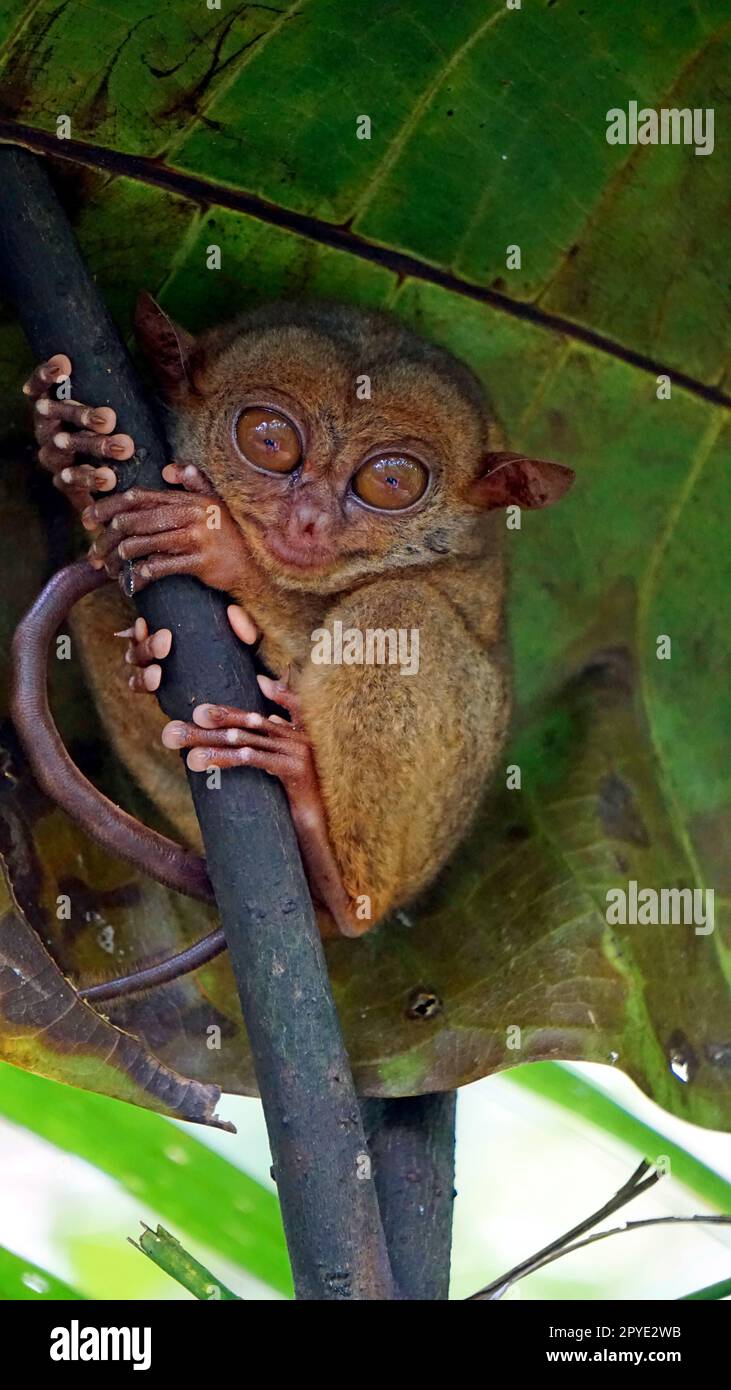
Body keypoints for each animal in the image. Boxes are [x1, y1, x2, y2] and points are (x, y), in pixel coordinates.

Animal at [23, 298, 573, 941]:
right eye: (269, 441)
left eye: (391, 481)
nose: (310, 518)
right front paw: (66, 442)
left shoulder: (463, 577)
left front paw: (220, 546)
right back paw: (147, 661)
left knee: (396, 610)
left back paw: (334, 867)